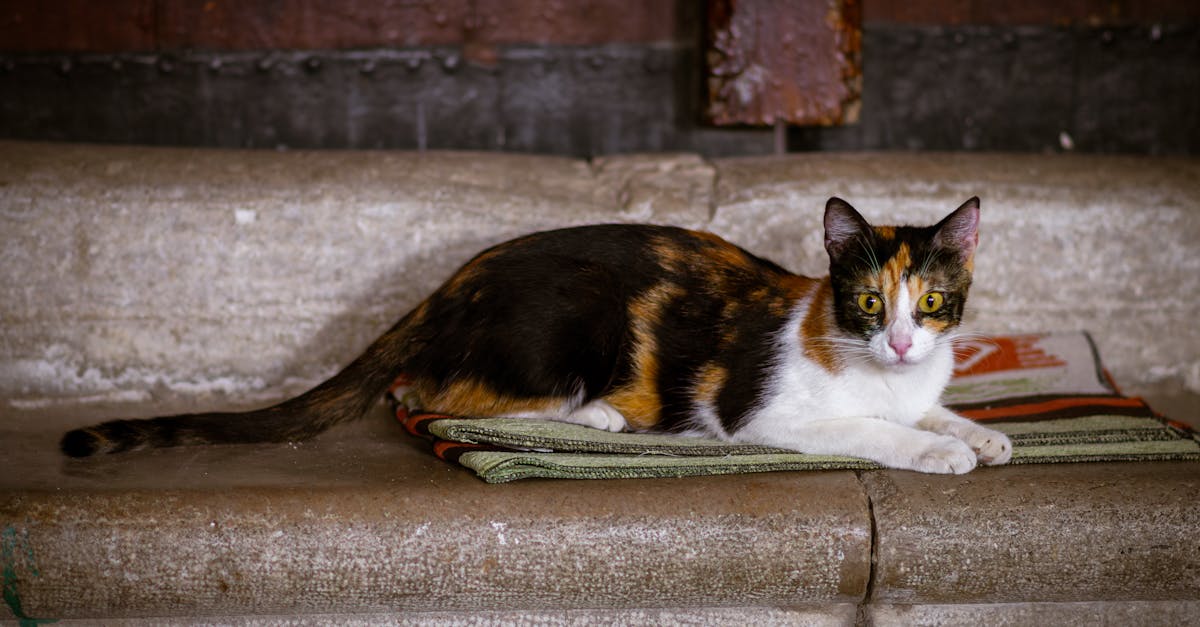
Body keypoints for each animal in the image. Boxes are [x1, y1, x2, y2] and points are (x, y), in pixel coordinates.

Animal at [58, 198, 1012, 470]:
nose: (898, 342)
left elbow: (927, 410)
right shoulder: (767, 414)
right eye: (866, 302)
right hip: (578, 316)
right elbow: (871, 428)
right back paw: (598, 417)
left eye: (931, 302)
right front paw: (938, 450)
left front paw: (979, 432)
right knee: (431, 398)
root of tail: (446, 286)